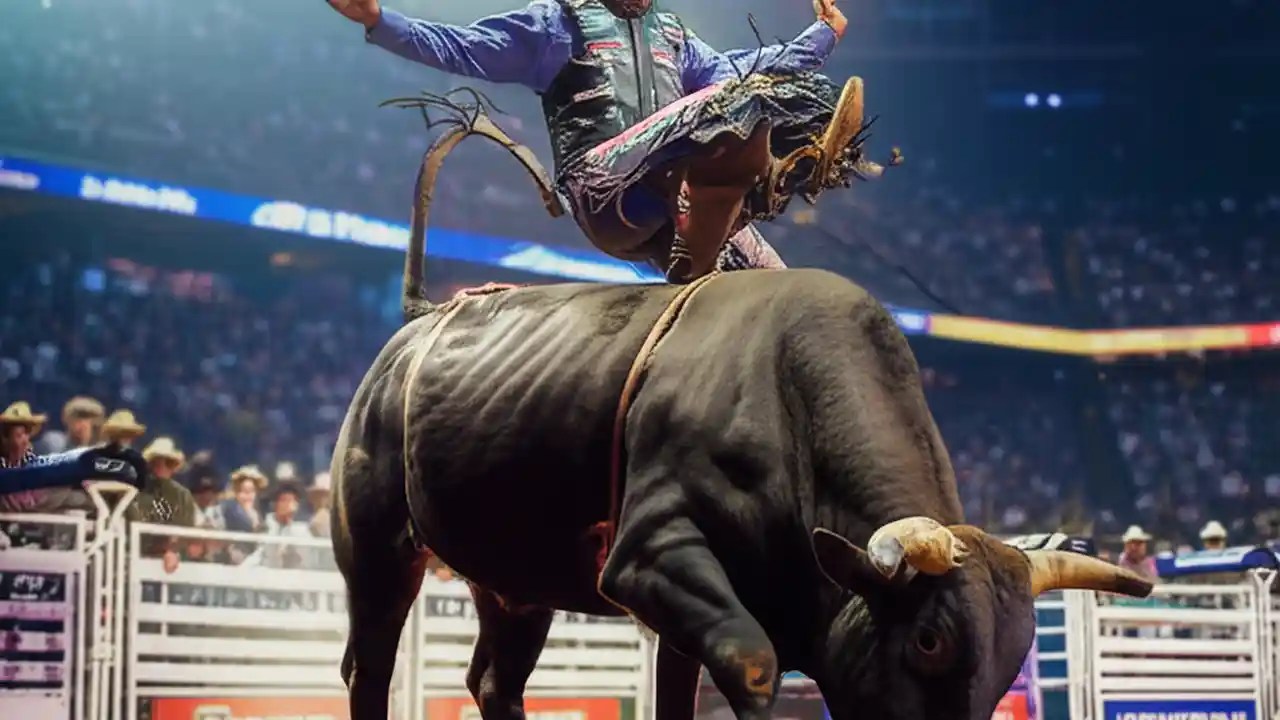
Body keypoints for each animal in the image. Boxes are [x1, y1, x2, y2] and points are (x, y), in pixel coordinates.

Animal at [330, 111, 1153, 720]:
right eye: (928, 640)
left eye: (1011, 662)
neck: (787, 404)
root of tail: (421, 319)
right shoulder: (649, 555)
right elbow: (752, 667)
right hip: (375, 547)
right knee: (369, 667)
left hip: (515, 579)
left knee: (494, 682)